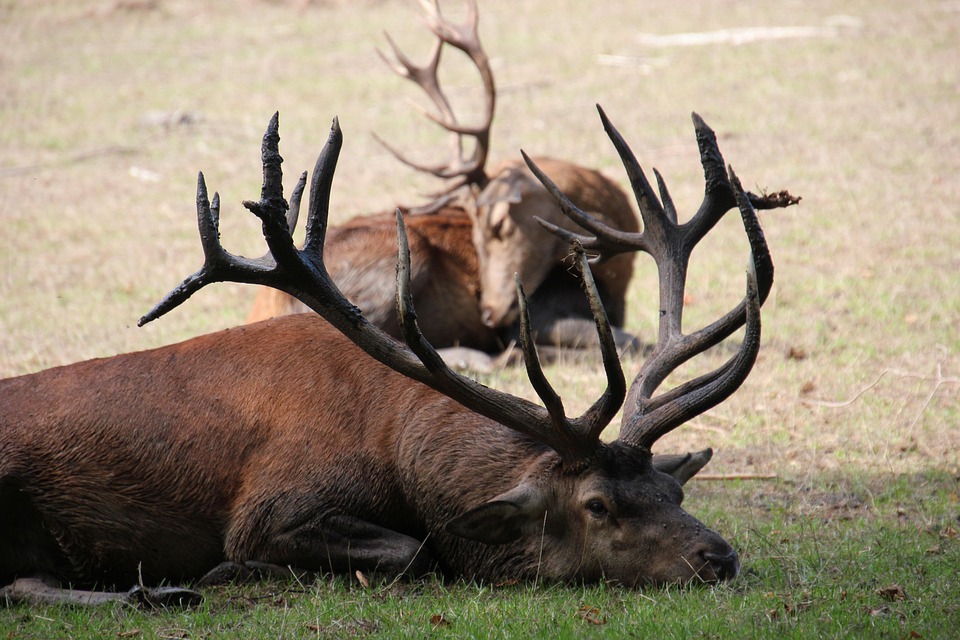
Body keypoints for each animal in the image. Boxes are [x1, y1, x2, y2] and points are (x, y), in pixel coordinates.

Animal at [0, 107, 793, 608]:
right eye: (597, 506)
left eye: (673, 491)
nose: (719, 557)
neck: (391, 445)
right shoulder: (272, 506)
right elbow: (414, 552)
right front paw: (229, 567)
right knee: (17, 584)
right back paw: (159, 590)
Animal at [246, 0, 642, 362]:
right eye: (483, 230)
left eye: (499, 226)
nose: (490, 311)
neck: (618, 277)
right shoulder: (544, 307)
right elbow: (633, 341)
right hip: (400, 261)